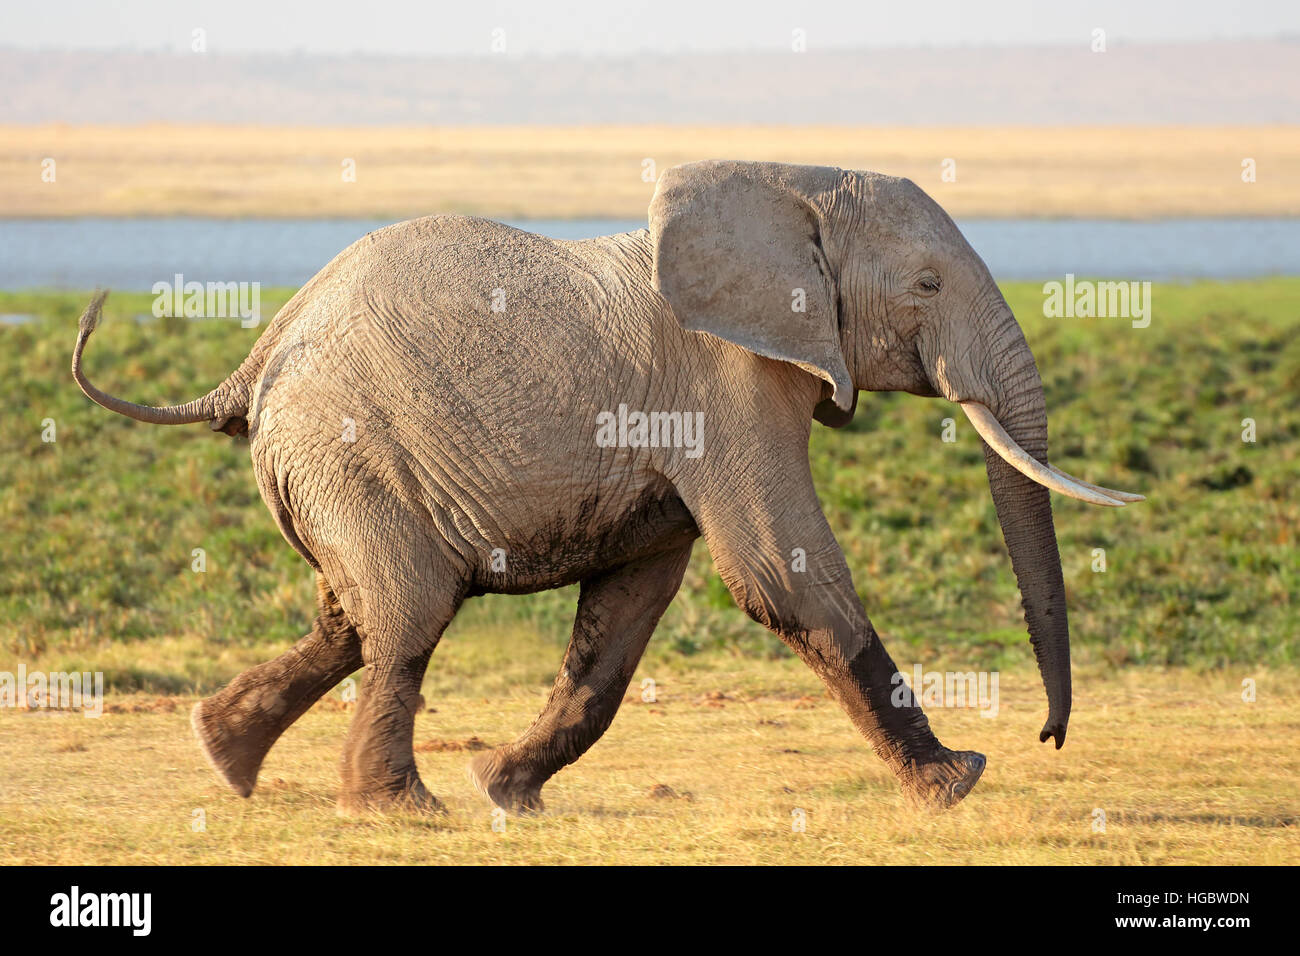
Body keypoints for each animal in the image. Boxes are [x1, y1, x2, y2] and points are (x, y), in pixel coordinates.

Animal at [71, 161, 1142, 814]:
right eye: (926, 286)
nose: (1048, 737)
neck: (789, 183)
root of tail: (254, 359)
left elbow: (625, 617)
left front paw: (506, 791)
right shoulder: (727, 383)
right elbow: (780, 574)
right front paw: (957, 783)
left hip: (331, 466)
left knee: (351, 614)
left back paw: (225, 757)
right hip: (347, 447)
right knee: (408, 611)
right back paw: (397, 809)